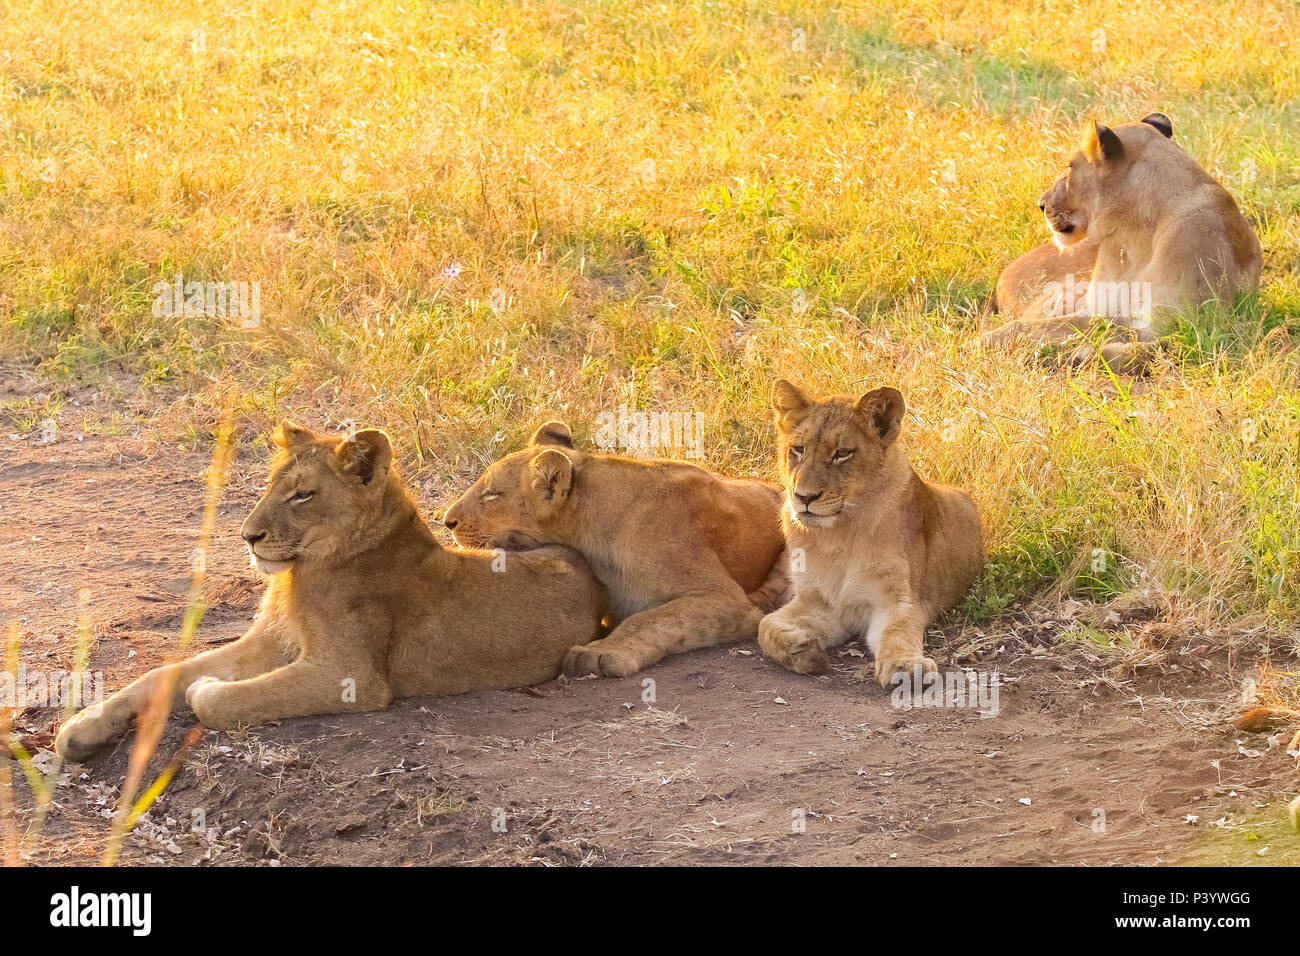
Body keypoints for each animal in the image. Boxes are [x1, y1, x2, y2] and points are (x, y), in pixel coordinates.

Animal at [55, 422, 606, 762]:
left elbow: (217, 699)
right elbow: (160, 674)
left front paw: (208, 689)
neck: (303, 570)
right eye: (270, 486)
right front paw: (81, 728)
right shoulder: (267, 642)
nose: (247, 536)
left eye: (302, 495)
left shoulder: (351, 675)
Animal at [757, 380, 984, 687]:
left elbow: (896, 634)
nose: (804, 497)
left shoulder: (898, 602)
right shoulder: (822, 602)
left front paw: (906, 666)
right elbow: (766, 625)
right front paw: (802, 651)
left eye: (842, 453)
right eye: (798, 449)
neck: (837, 535)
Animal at [983, 112, 1261, 370]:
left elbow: (1154, 350)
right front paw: (987, 342)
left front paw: (1075, 356)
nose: (1041, 204)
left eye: (1070, 167)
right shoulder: (1097, 310)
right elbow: (1029, 326)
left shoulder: (1194, 328)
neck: (1135, 236)